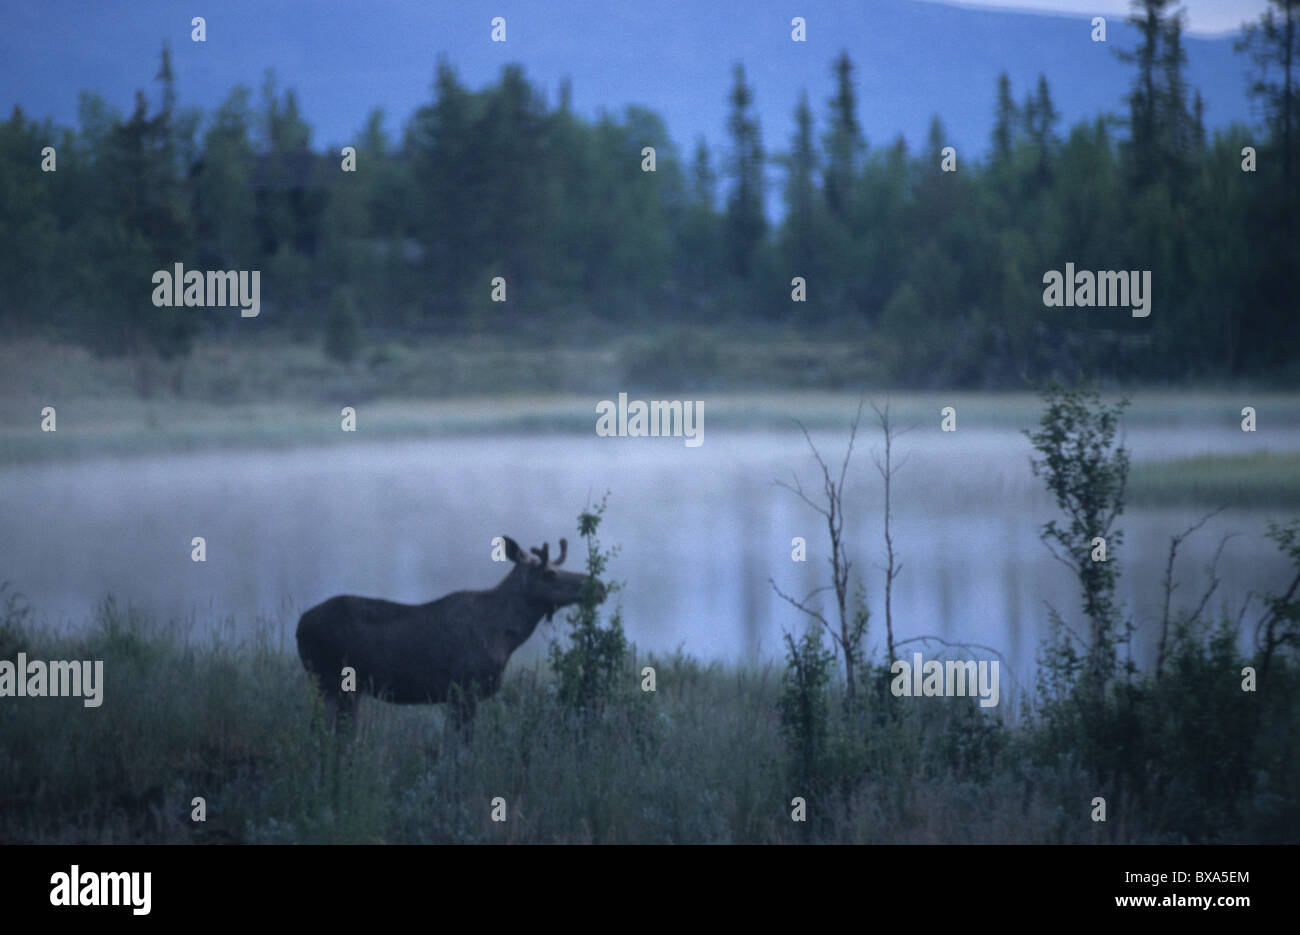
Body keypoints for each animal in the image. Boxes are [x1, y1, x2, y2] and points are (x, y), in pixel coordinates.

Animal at [296, 536, 600, 730]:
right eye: (549, 574)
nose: (598, 586)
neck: (506, 637)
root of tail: (299, 625)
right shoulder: (463, 688)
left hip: (349, 690)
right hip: (328, 680)